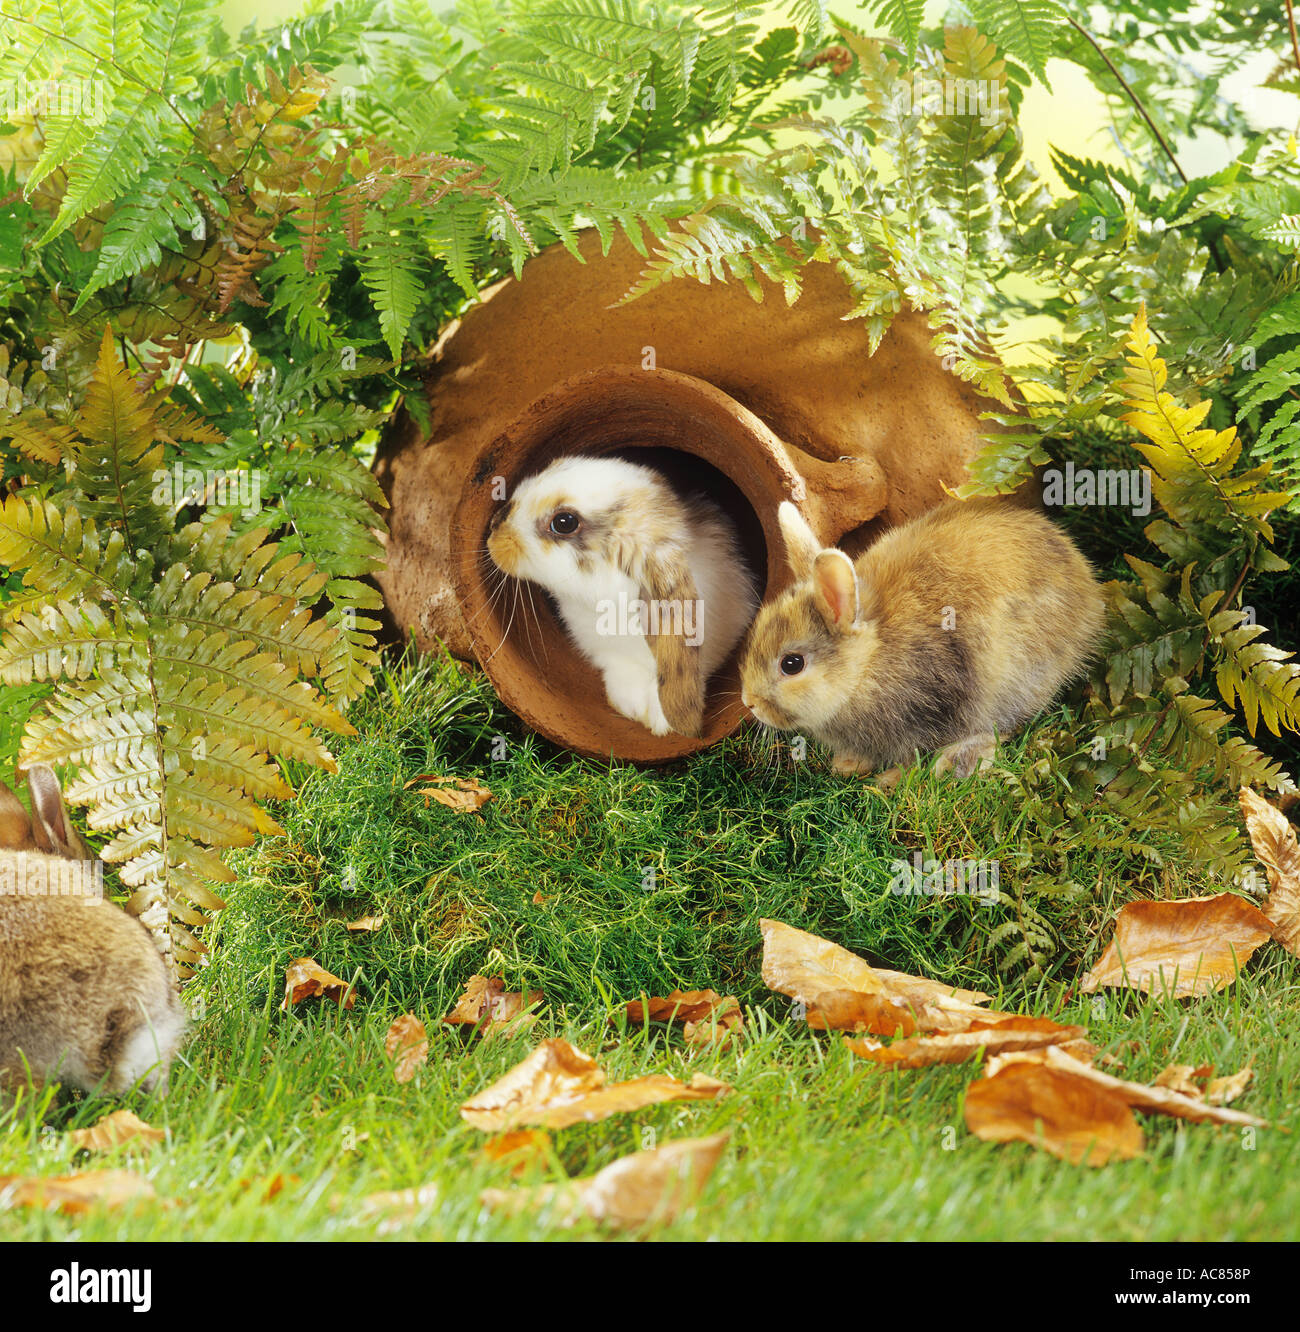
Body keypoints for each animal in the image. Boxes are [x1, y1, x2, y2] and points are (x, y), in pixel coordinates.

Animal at [740, 498, 1106, 779]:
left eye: (792, 664)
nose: (749, 703)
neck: (866, 665)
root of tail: (1087, 587)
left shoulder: (933, 709)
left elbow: (914, 756)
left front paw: (887, 780)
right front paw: (847, 764)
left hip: (1014, 681)